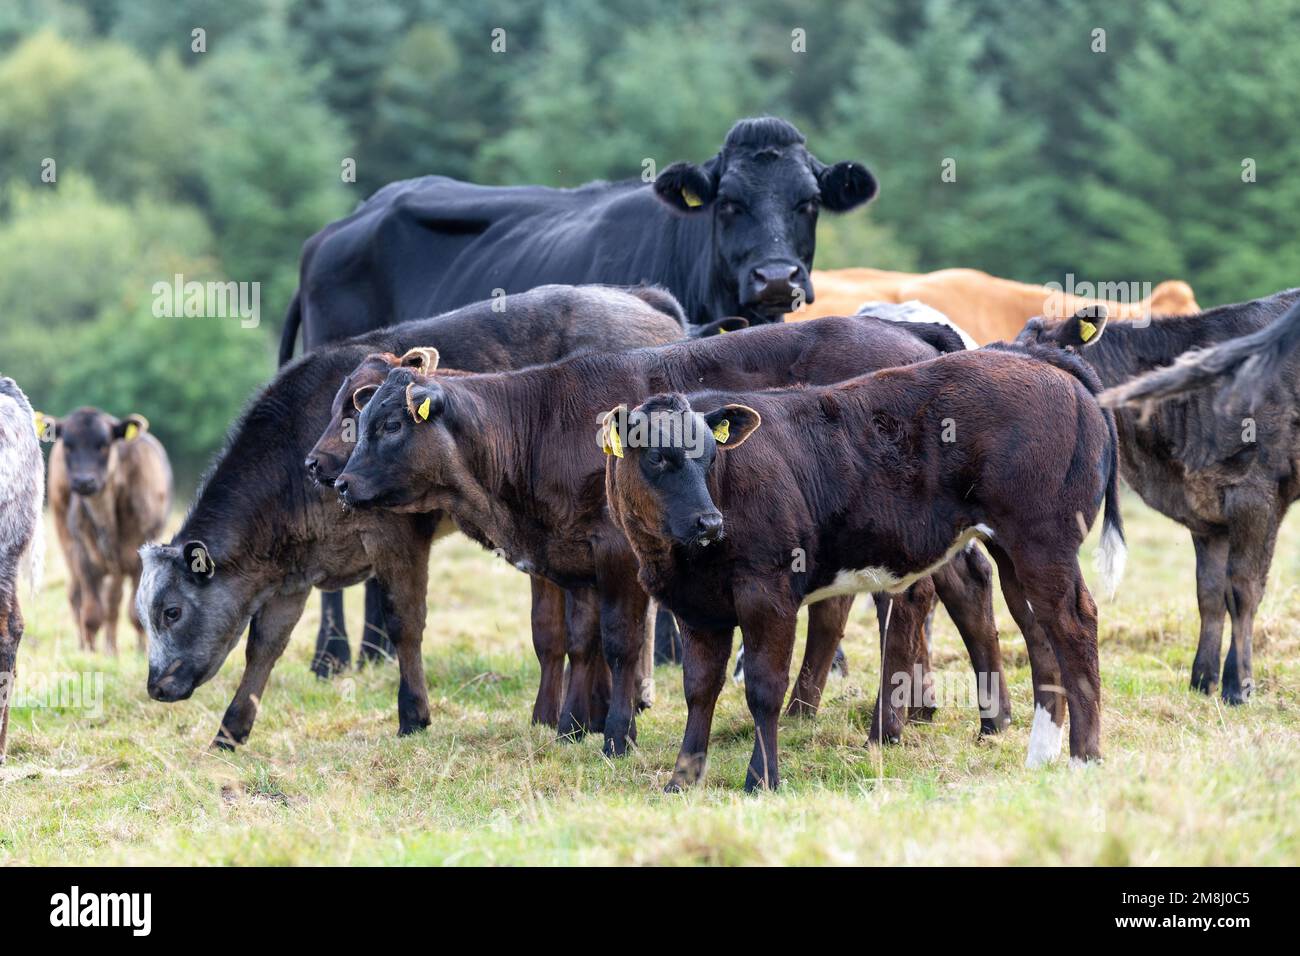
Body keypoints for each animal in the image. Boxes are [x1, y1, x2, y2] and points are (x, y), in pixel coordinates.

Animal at [46, 408, 171, 654]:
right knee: (77, 595)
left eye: (103, 444)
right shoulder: (83, 555)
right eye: (68, 445)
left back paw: (113, 647)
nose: (84, 481)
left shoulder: (139, 556)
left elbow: (134, 609)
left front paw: (141, 650)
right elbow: (93, 611)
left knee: (114, 601)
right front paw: (90, 651)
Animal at [137, 285, 685, 748]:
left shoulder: (395, 535)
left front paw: (413, 714)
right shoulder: (292, 570)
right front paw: (230, 730)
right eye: (142, 616)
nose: (156, 686)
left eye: (172, 611)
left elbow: (404, 623)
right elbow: (264, 646)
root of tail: (642, 297)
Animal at [335, 316, 1013, 760]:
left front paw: (616, 735)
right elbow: (580, 641)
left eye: (388, 423)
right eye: (358, 417)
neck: (539, 424)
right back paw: (990, 718)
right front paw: (574, 725)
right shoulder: (579, 560)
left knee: (911, 603)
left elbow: (620, 644)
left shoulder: (618, 556)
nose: (336, 480)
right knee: (968, 585)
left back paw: (887, 726)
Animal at [603, 345, 1125, 791]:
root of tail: (1042, 361)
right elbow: (699, 691)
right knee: (1037, 631)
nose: (709, 521)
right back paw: (1040, 753)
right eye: (657, 456)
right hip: (1014, 550)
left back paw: (1084, 758)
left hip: (1043, 541)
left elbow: (764, 689)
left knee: (1074, 624)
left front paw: (762, 779)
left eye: (710, 455)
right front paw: (681, 780)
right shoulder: (696, 609)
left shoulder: (767, 593)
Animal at [1020, 293, 1300, 703]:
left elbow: (1243, 590)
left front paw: (1238, 685)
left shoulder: (1256, 496)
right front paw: (1202, 680)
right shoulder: (1206, 513)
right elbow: (1209, 593)